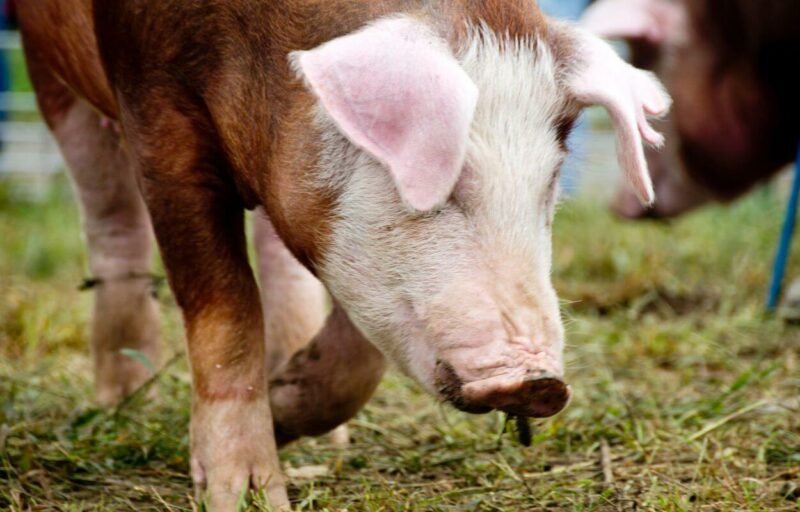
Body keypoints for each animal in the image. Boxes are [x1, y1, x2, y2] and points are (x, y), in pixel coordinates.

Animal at [16, 0, 669, 509]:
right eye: (450, 181)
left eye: (550, 182)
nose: (541, 383)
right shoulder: (155, 111)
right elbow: (225, 305)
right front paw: (247, 497)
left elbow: (363, 344)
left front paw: (285, 411)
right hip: (49, 67)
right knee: (109, 218)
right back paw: (124, 401)